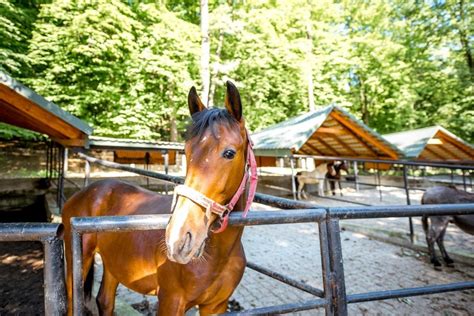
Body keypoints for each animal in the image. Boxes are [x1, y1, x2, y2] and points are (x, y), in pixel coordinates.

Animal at [63, 82, 256, 316]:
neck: (220, 255)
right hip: (77, 264)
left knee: (105, 300)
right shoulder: (170, 301)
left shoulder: (216, 306)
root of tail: (85, 193)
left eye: (229, 153)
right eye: (186, 151)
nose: (178, 239)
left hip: (113, 264)